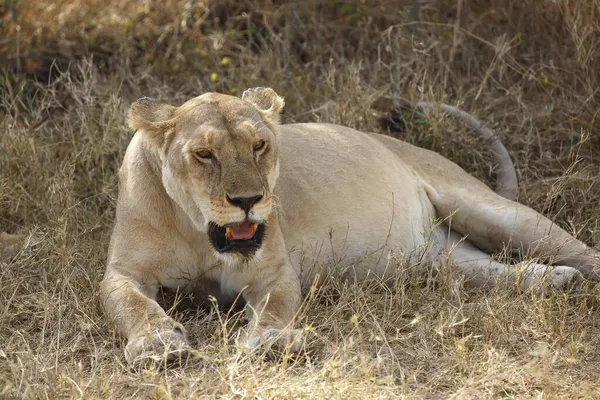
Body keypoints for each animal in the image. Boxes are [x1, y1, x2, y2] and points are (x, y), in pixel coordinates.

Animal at [101, 86, 596, 366]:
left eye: (260, 145)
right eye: (205, 155)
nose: (247, 202)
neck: (199, 232)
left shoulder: (275, 271)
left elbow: (276, 307)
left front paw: (273, 342)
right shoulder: (123, 272)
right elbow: (132, 304)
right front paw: (158, 344)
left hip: (487, 209)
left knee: (577, 249)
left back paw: (573, 277)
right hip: (441, 261)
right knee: (492, 270)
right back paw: (554, 282)